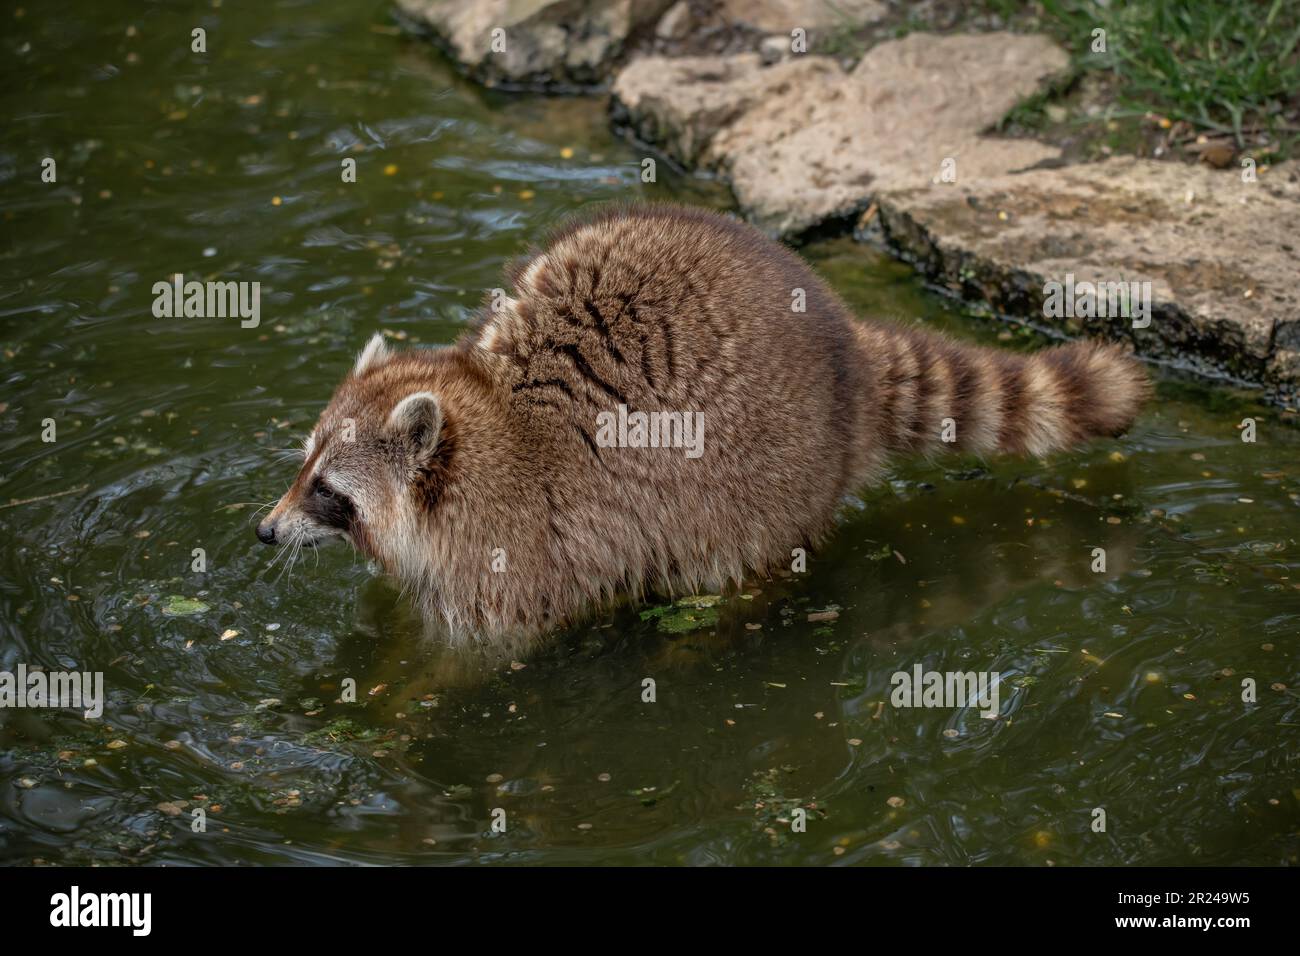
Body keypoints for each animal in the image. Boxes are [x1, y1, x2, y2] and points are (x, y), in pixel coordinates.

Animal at [256, 203, 1149, 642]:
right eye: (303, 465)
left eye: (328, 490)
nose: (263, 531)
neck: (486, 411)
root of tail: (847, 354)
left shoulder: (520, 554)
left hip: (761, 477)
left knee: (728, 565)